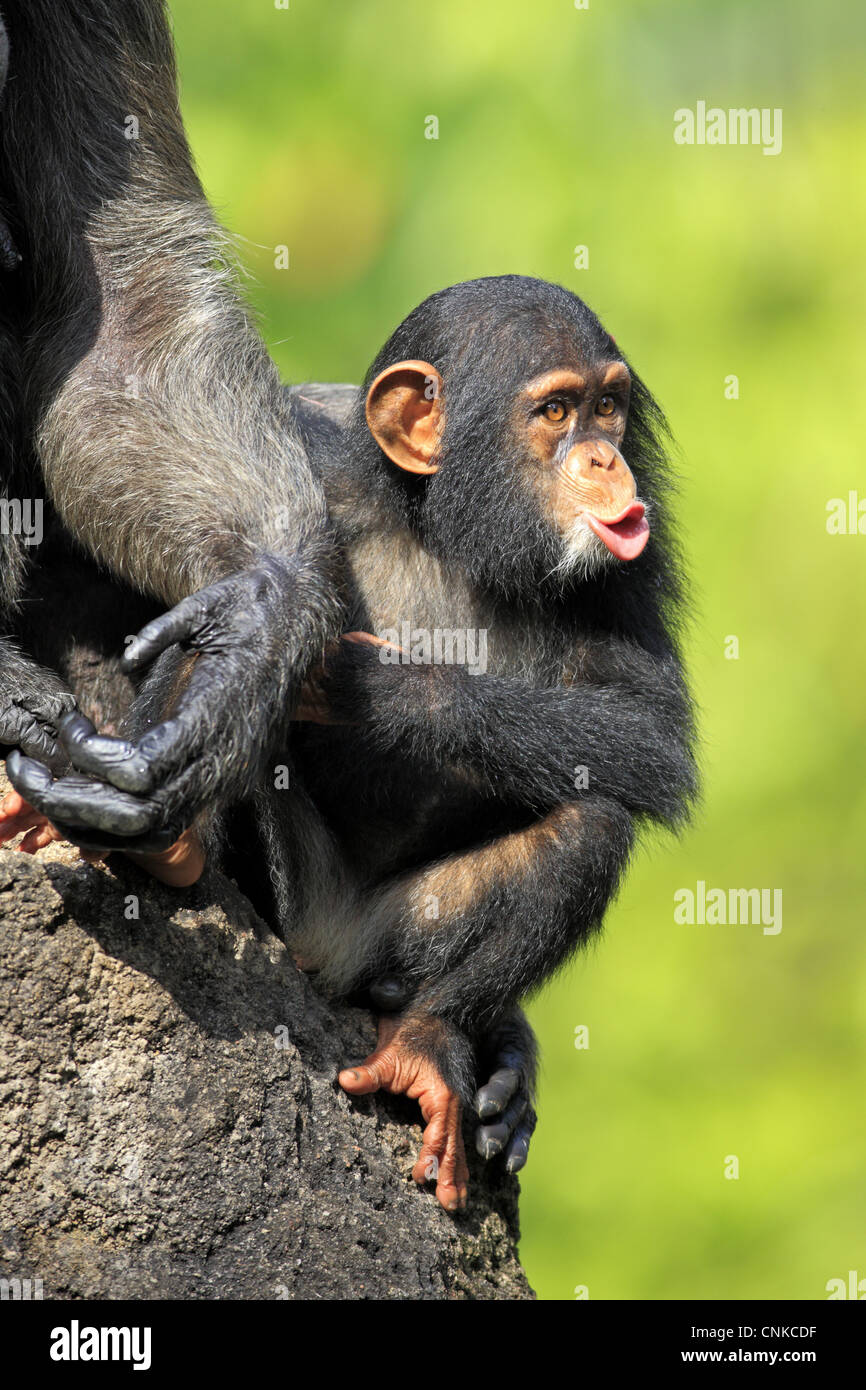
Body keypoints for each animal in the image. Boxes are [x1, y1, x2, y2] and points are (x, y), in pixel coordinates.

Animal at [7, 276, 697, 1210]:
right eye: (556, 411)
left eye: (609, 407)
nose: (602, 459)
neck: (435, 524)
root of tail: (322, 957)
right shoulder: (306, 458)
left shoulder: (631, 565)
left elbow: (649, 729)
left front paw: (370, 688)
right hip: (290, 888)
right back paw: (165, 845)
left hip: (387, 940)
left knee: (592, 817)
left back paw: (431, 1041)